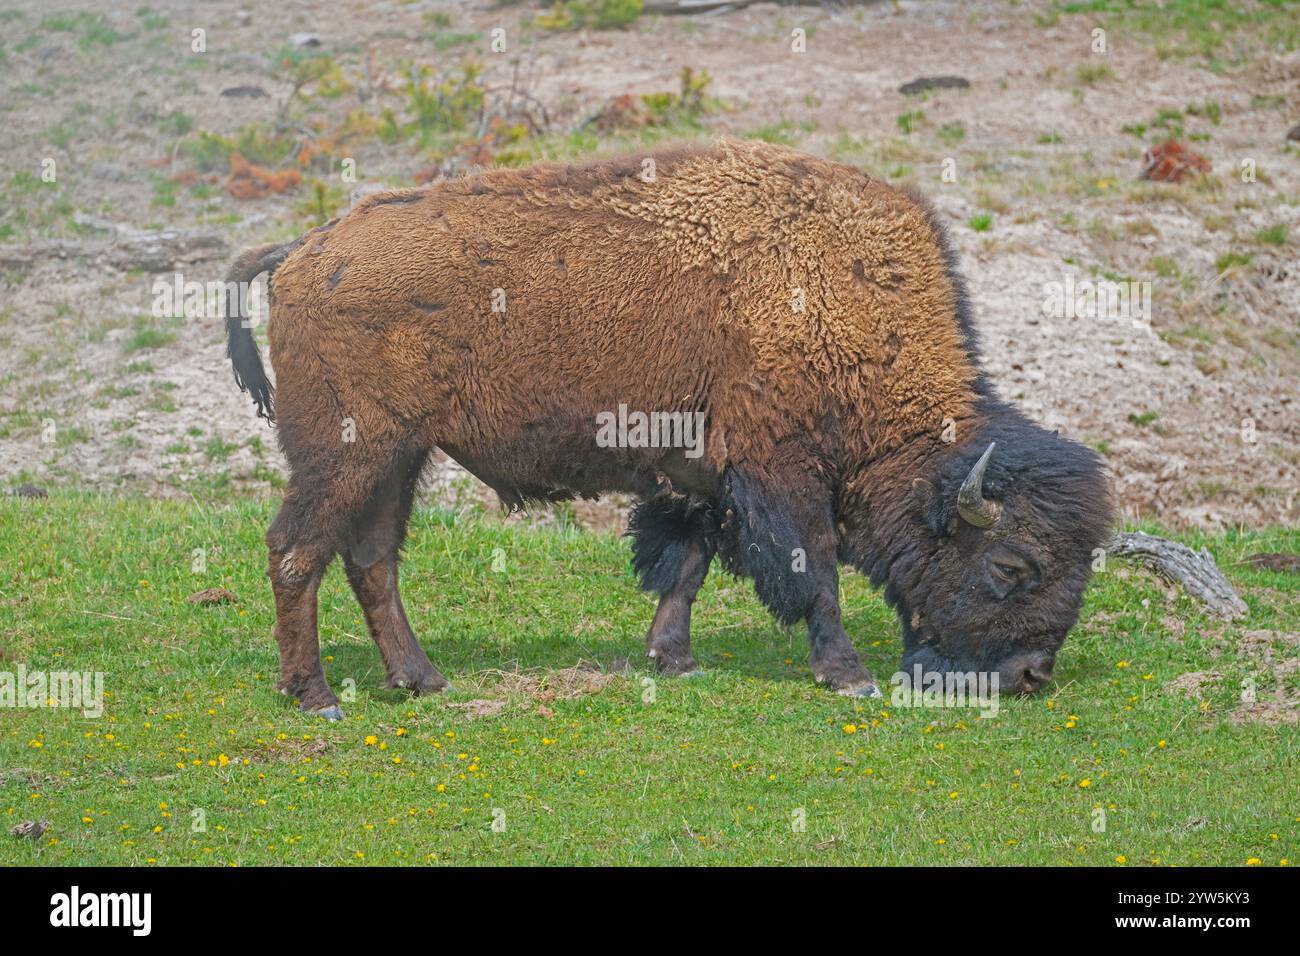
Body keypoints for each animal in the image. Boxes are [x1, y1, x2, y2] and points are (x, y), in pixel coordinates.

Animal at [225, 140, 1113, 718]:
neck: (837, 298)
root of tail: (305, 248)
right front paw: (846, 673)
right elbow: (813, 565)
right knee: (297, 551)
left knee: (371, 558)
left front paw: (672, 658)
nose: (1031, 675)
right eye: (1014, 565)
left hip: (400, 458)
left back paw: (421, 680)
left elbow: (686, 564)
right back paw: (315, 698)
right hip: (347, 453)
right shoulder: (776, 468)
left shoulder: (698, 472)